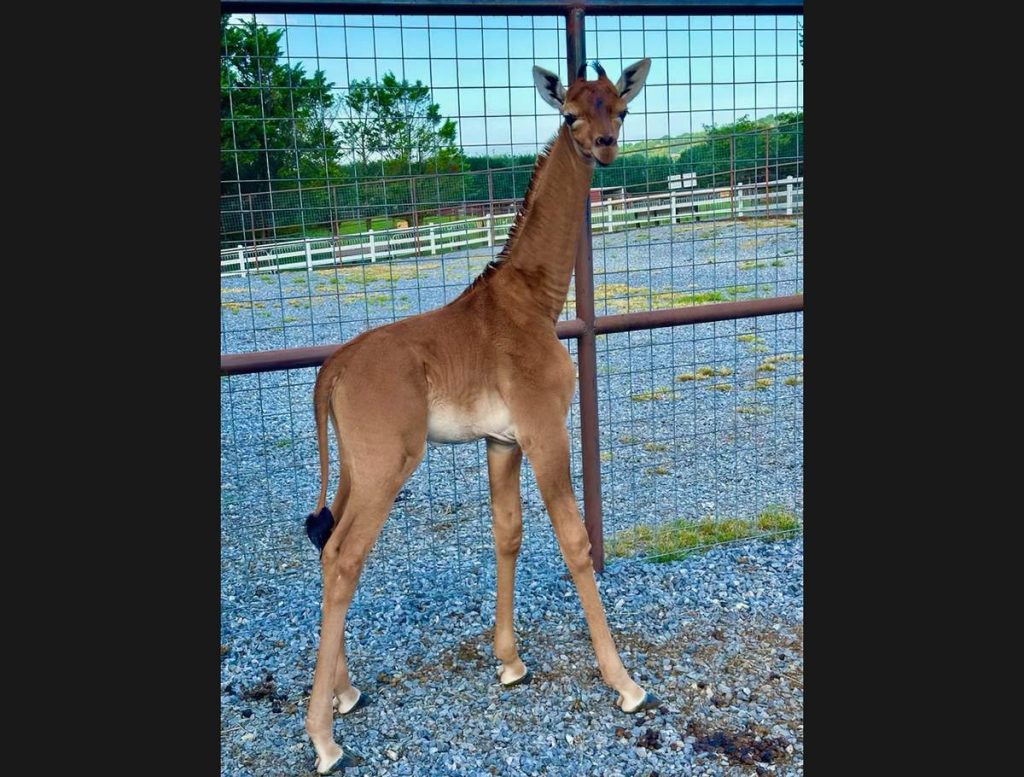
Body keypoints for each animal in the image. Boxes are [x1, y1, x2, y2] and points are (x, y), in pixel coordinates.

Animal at [303, 58, 655, 773]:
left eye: (621, 109)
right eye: (569, 115)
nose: (605, 147)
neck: (536, 301)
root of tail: (333, 369)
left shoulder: (501, 440)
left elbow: (508, 534)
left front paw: (510, 661)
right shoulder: (545, 430)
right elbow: (575, 541)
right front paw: (626, 684)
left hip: (354, 466)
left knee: (327, 545)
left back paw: (346, 693)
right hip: (387, 465)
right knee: (344, 558)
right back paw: (324, 738)